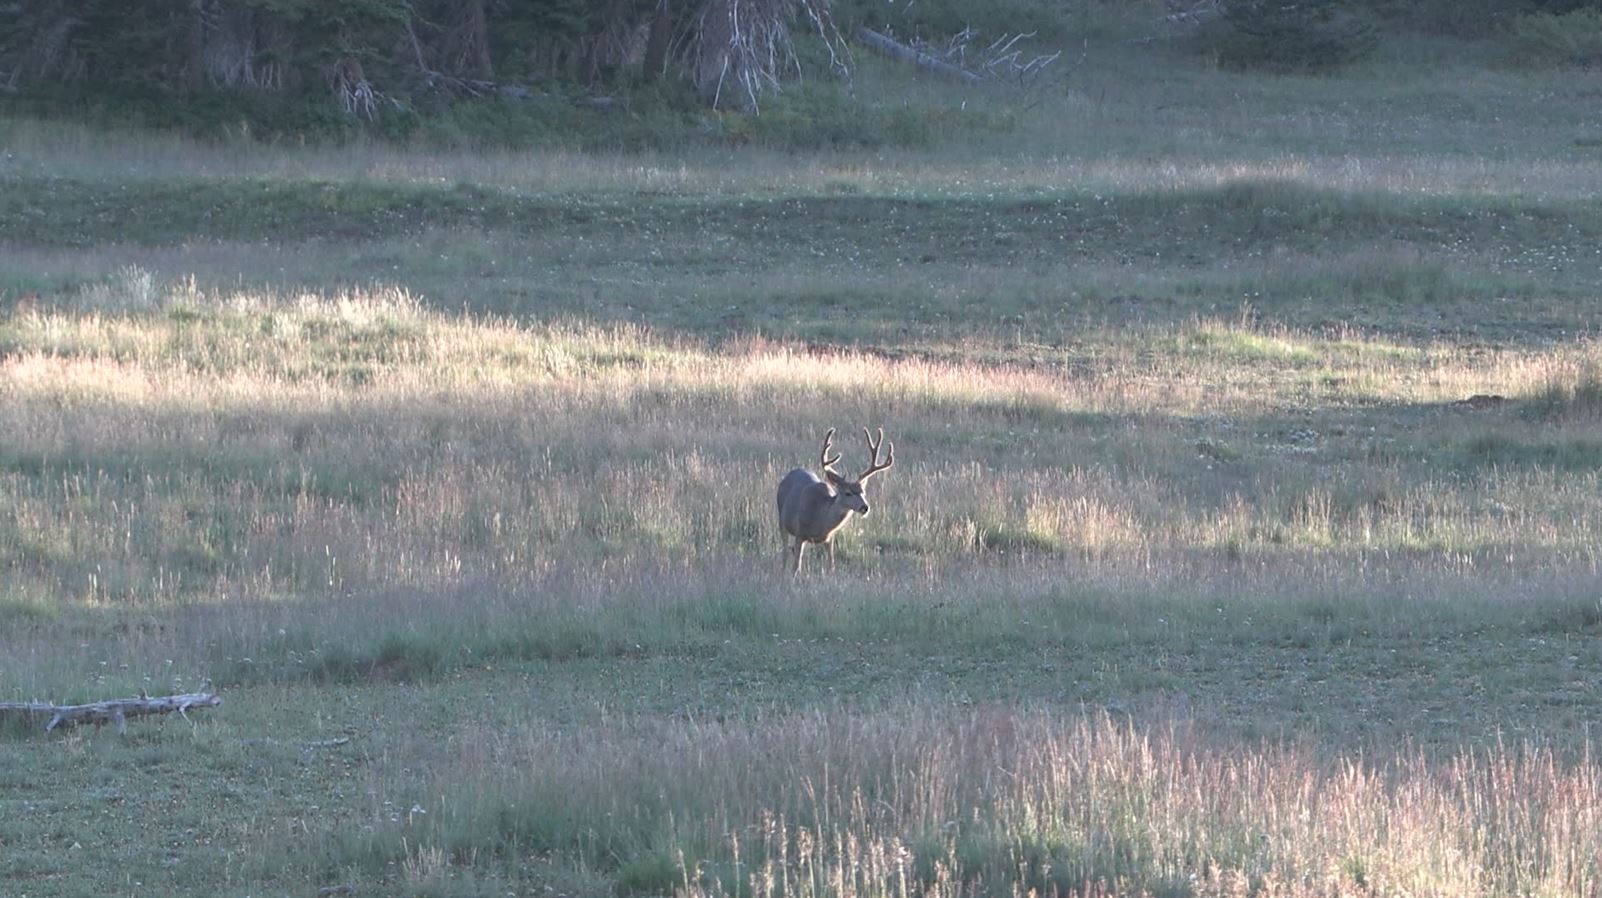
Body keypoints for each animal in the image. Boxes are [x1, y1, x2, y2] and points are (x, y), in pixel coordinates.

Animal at [776, 427, 895, 574]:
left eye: (863, 492)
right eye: (848, 493)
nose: (865, 507)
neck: (820, 516)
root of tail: (787, 476)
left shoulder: (830, 538)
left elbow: (830, 565)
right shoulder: (800, 533)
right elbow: (796, 567)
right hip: (782, 521)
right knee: (785, 552)